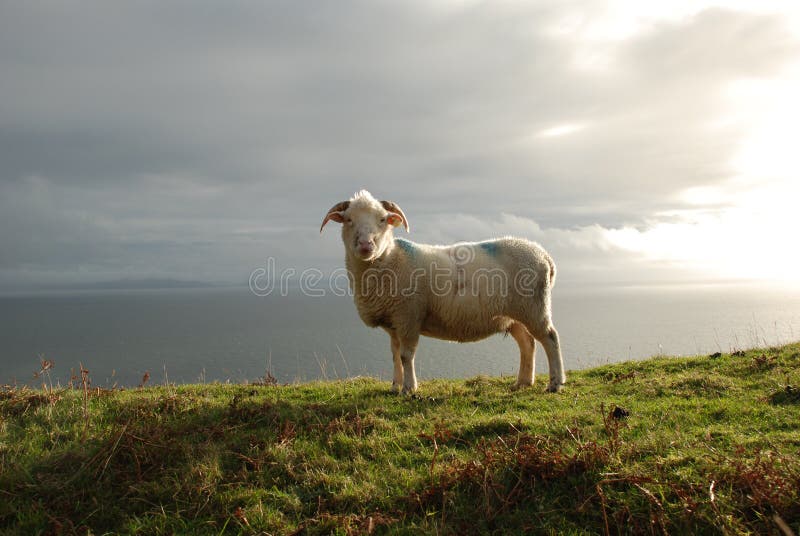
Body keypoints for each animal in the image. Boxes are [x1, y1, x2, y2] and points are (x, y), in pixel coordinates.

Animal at [320, 190, 566, 394]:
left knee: (550, 338)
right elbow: (394, 355)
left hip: (534, 307)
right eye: (349, 220)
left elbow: (406, 355)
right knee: (528, 343)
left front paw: (409, 389)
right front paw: (395, 386)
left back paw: (555, 383)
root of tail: (545, 256)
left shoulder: (409, 316)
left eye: (382, 219)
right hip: (514, 314)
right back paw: (523, 382)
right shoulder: (394, 322)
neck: (390, 259)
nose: (365, 246)